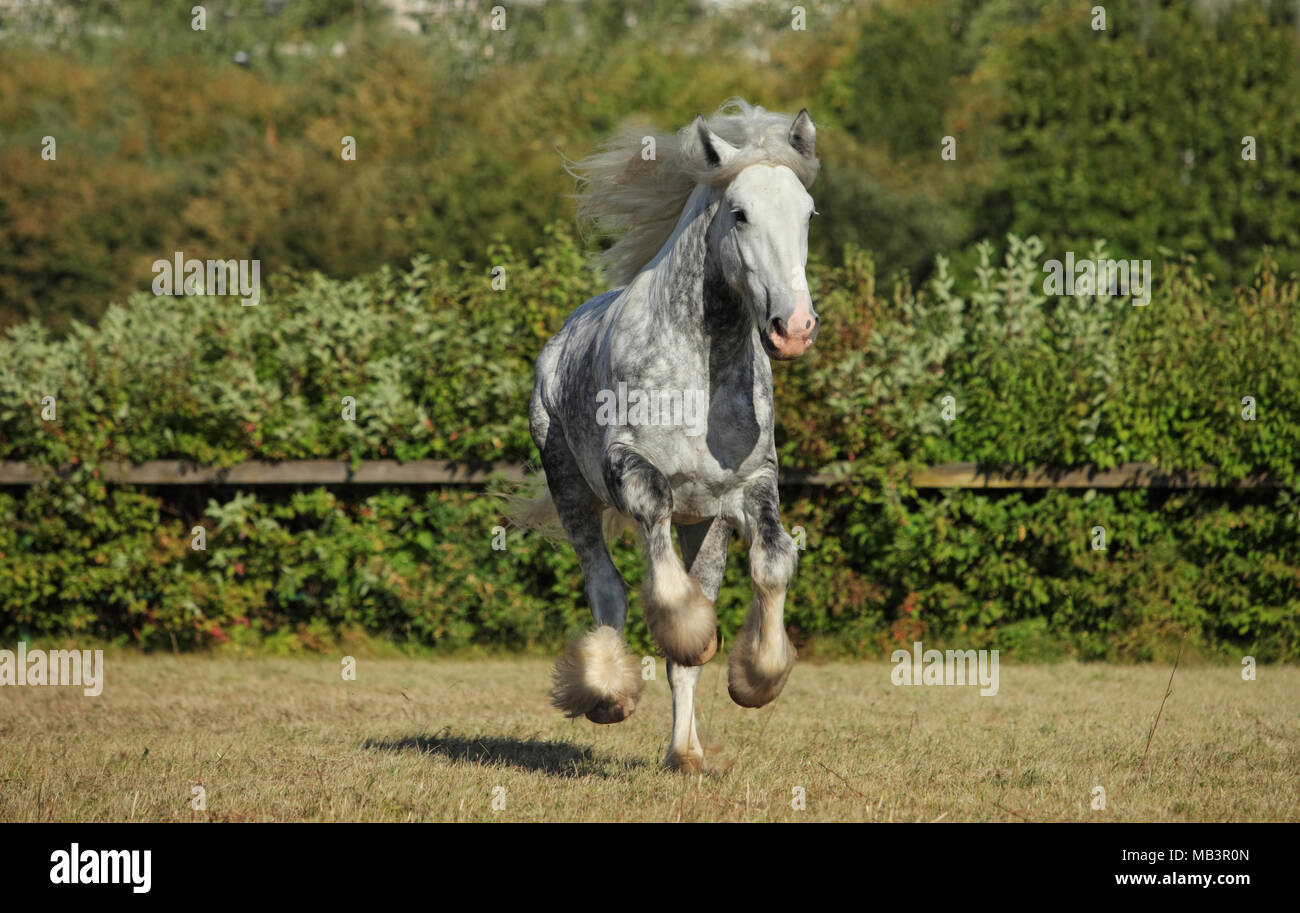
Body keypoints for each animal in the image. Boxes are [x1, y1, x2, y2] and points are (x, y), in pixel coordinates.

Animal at [516, 99, 820, 772]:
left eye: (808, 213)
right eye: (739, 213)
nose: (793, 329)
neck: (699, 370)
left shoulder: (747, 488)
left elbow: (774, 561)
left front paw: (756, 679)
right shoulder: (627, 465)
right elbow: (660, 555)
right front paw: (688, 631)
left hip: (703, 523)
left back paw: (685, 754)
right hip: (570, 485)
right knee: (606, 584)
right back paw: (606, 694)